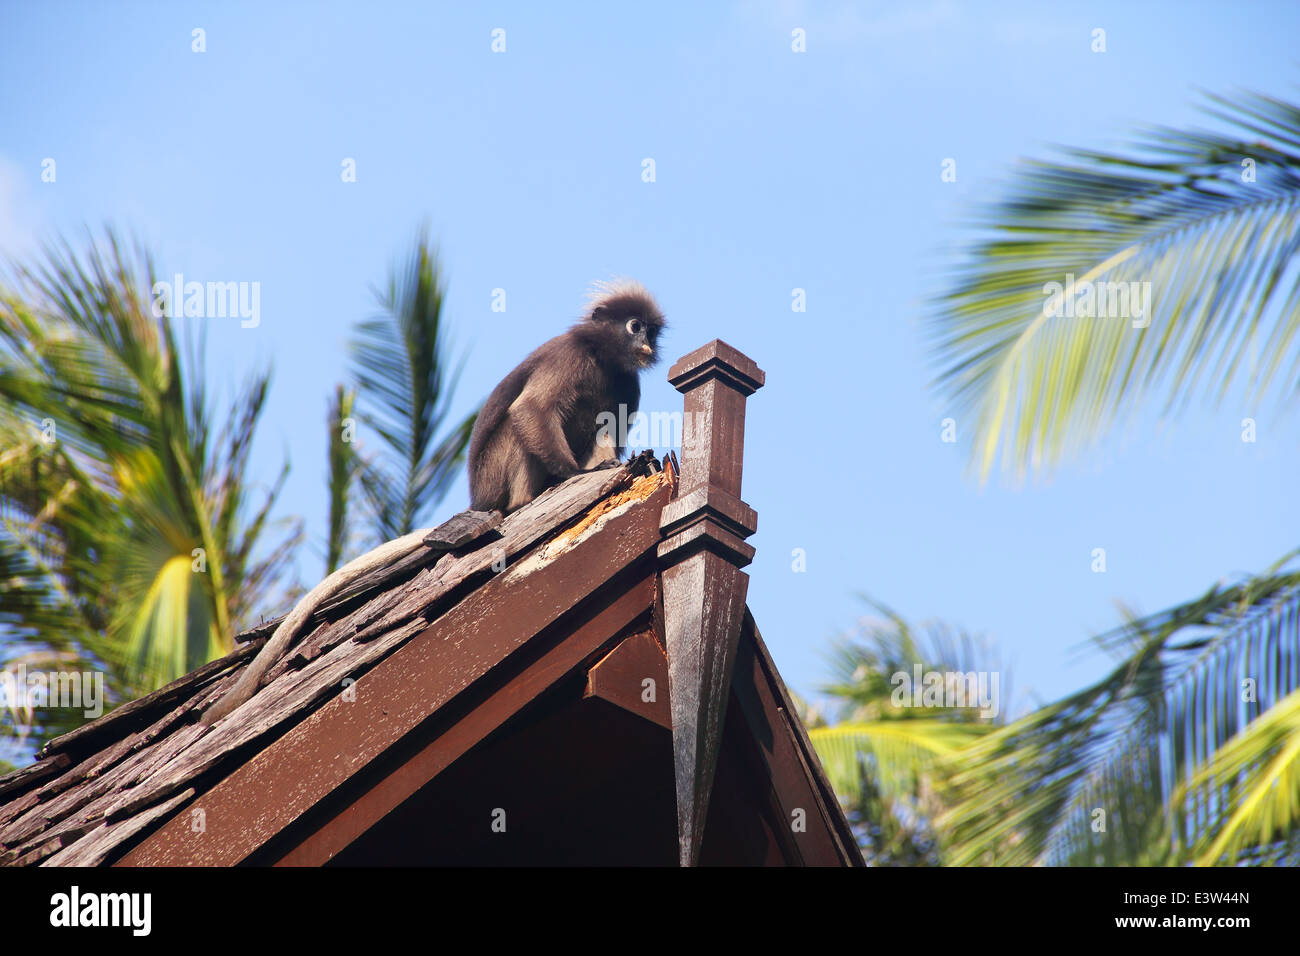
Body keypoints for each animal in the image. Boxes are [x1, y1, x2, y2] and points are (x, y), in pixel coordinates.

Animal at [468, 279, 665, 513]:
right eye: (635, 326)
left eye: (651, 332)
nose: (647, 342)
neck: (601, 359)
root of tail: (479, 501)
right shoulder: (567, 355)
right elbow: (531, 407)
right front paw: (576, 472)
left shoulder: (630, 383)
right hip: (491, 473)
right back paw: (521, 502)